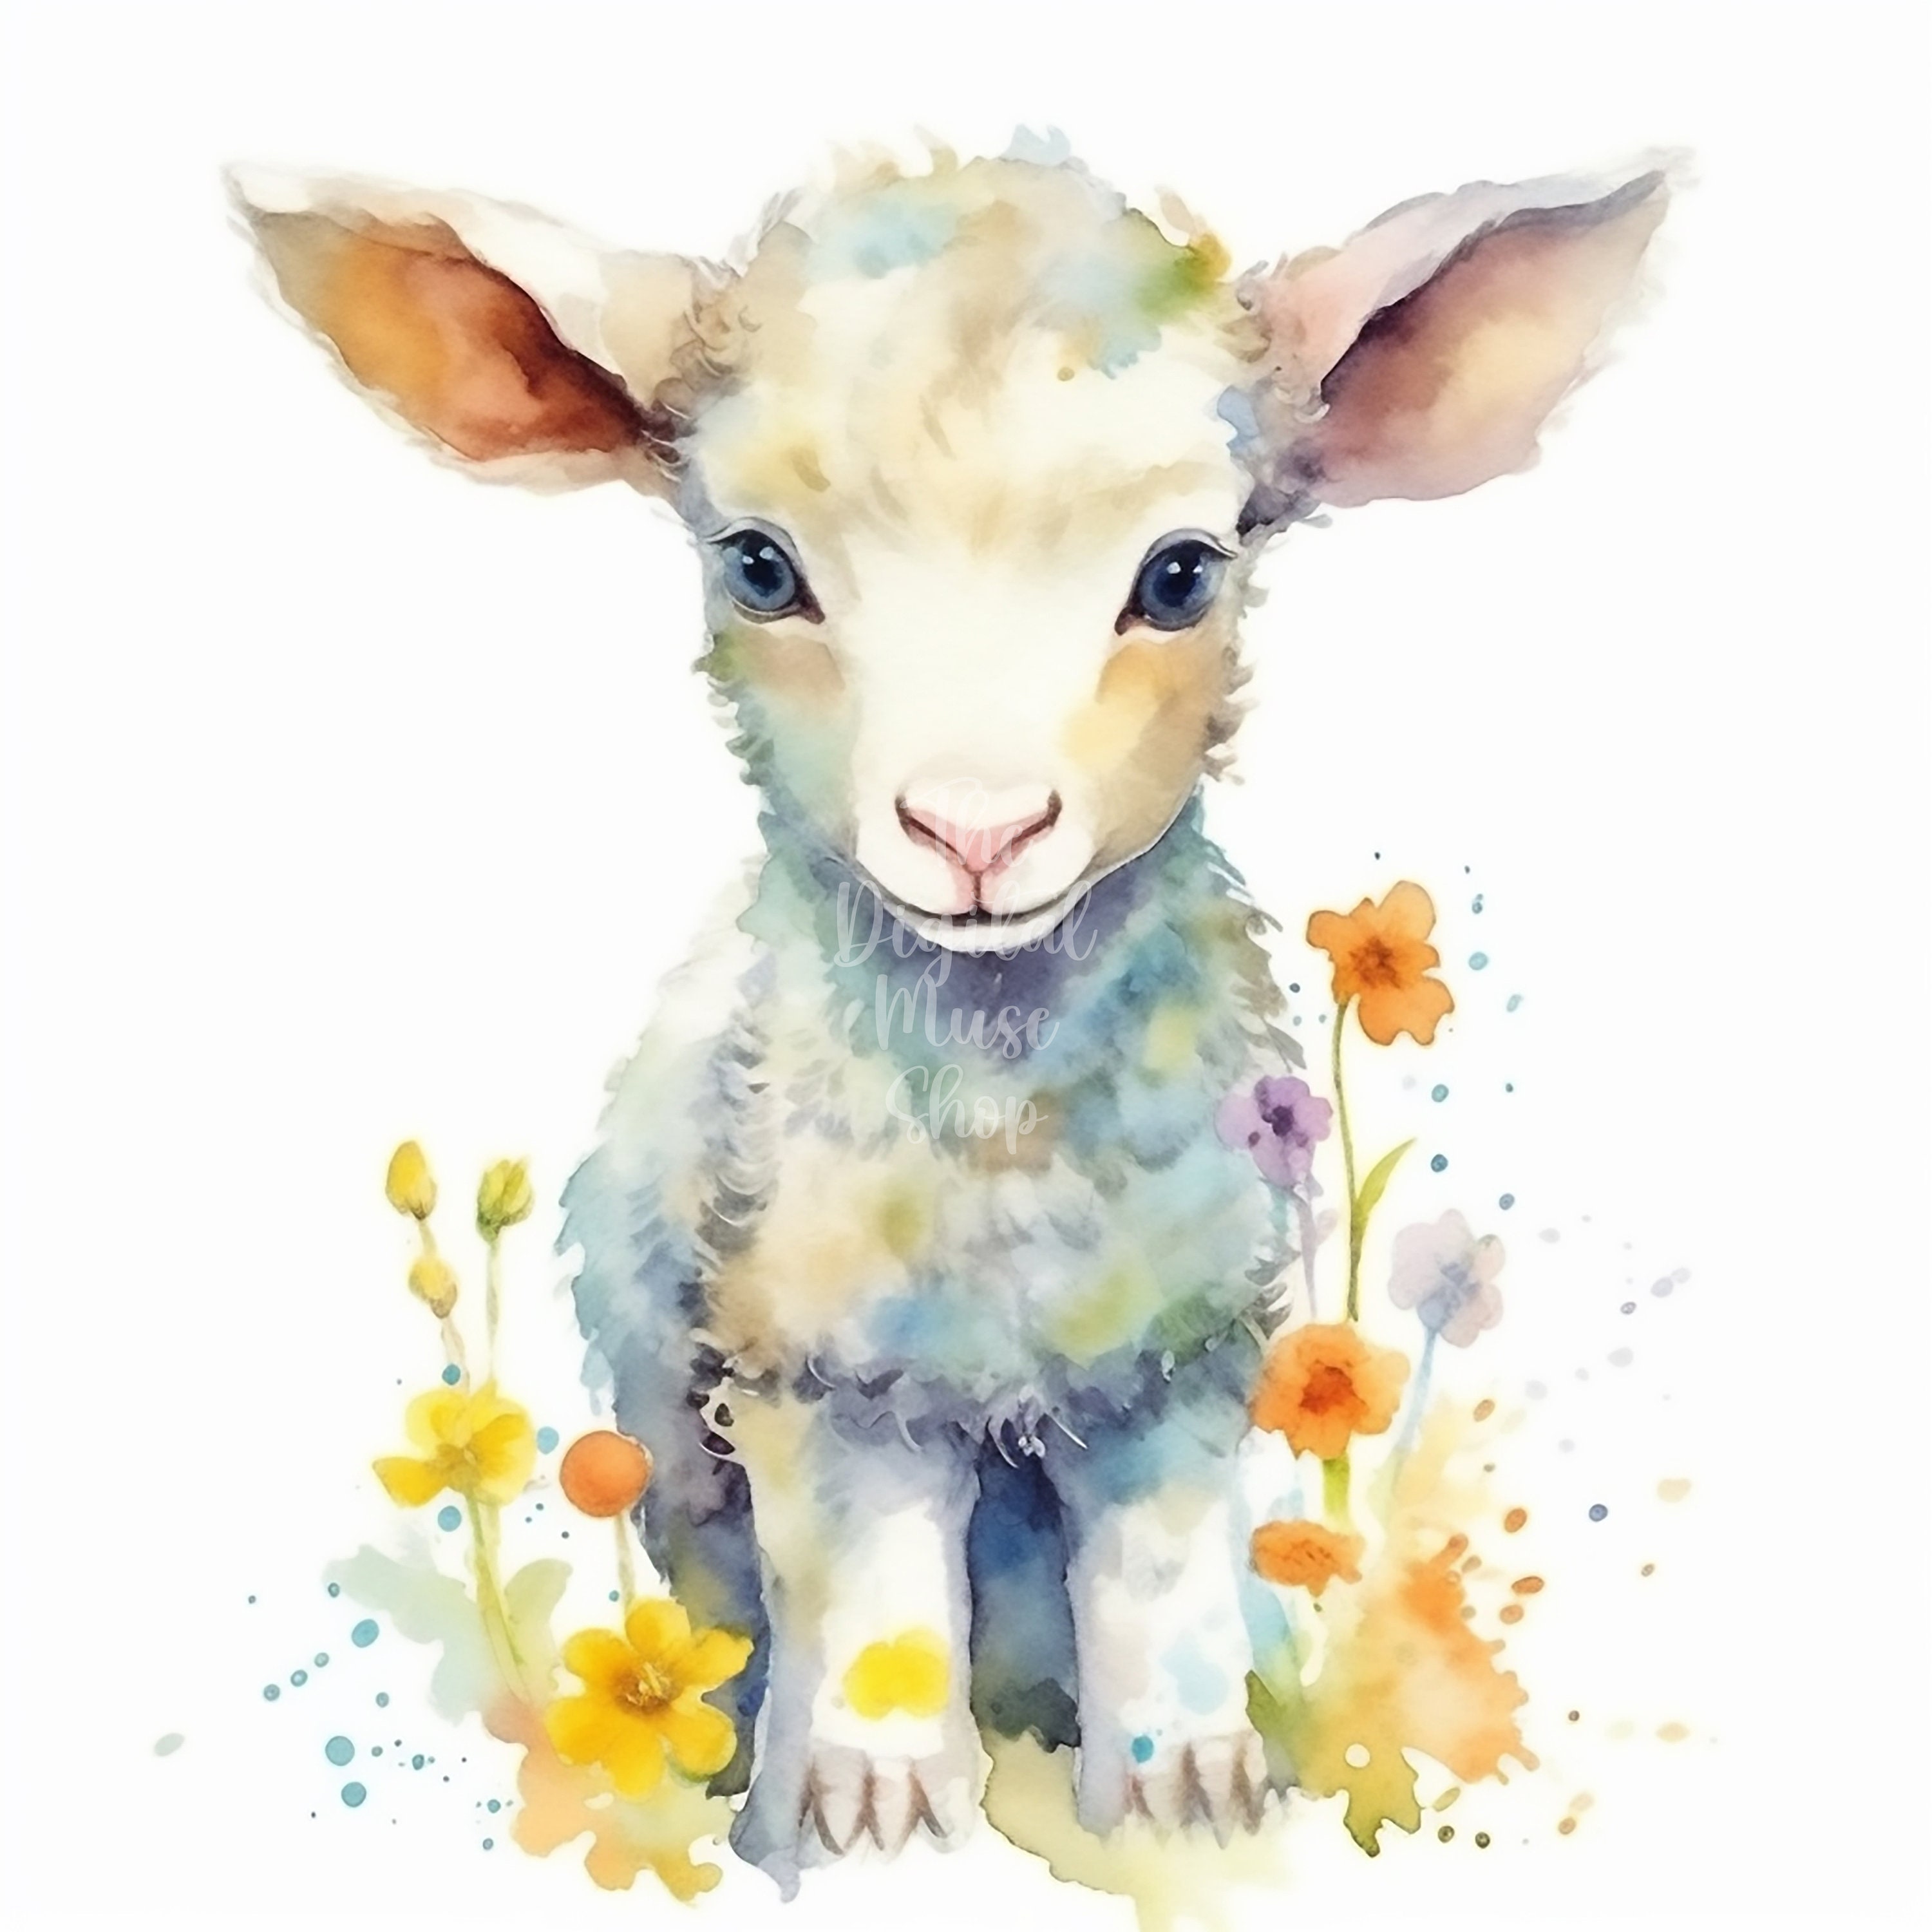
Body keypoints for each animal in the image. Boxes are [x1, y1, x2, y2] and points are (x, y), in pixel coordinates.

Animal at [233, 139, 1672, 1891]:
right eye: (759, 566)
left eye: (1181, 574)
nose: (974, 832)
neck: (1000, 1135)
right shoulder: (811, 1370)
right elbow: (870, 1608)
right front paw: (867, 1823)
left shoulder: (1175, 1367)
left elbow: (1161, 1589)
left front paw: (1191, 1803)